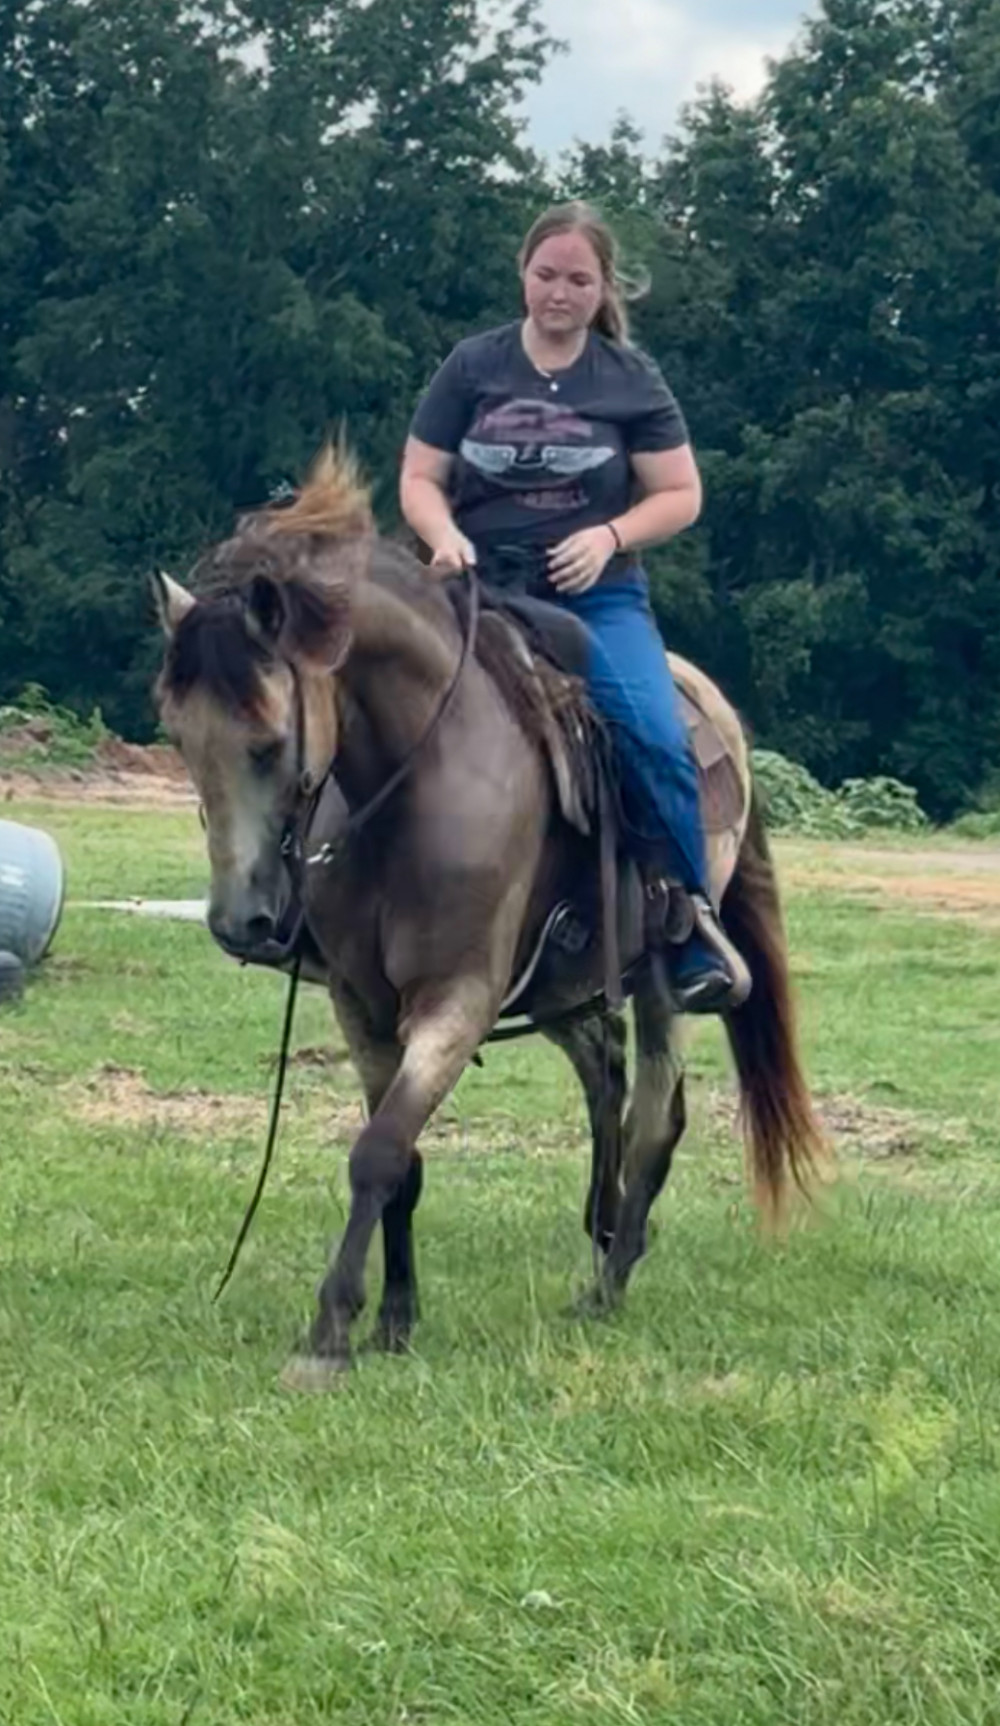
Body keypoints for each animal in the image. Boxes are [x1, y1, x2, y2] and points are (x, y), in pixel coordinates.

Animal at [153, 446, 824, 1386]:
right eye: (179, 737)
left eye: (267, 740)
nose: (239, 921)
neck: (414, 781)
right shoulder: (363, 1006)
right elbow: (402, 1160)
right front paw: (395, 1317)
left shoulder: (458, 998)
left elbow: (378, 1152)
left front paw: (329, 1333)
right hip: (563, 985)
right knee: (604, 1070)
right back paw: (603, 1229)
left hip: (660, 978)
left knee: (656, 1111)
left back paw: (608, 1282)